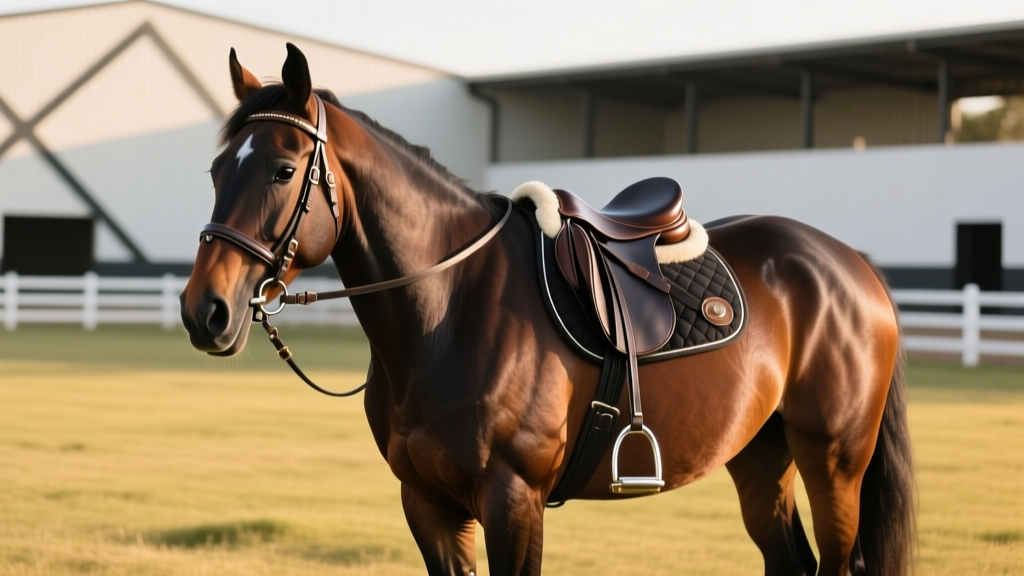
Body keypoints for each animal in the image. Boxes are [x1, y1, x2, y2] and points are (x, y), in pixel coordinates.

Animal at [180, 44, 915, 576]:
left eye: (282, 170)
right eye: (215, 171)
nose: (203, 311)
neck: (450, 309)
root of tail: (849, 264)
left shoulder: (513, 500)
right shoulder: (428, 505)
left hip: (835, 462)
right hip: (762, 457)